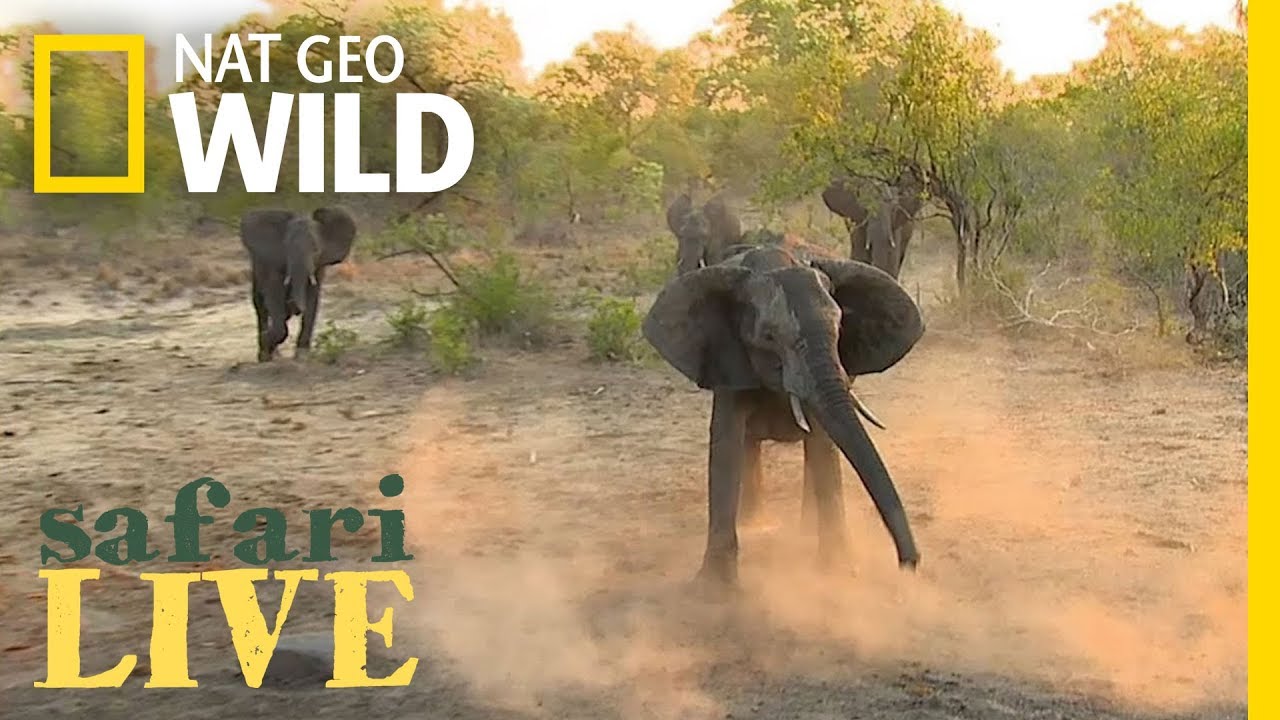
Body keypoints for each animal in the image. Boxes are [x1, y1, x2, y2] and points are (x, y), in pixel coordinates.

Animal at [239, 206, 357, 362]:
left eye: (316, 250)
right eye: (286, 247)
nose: (292, 304)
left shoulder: (317, 268)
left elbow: (313, 300)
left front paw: (302, 355)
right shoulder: (274, 264)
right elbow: (274, 296)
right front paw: (266, 342)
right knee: (261, 307)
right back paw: (266, 354)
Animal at [642, 235, 924, 586]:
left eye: (840, 327)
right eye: (768, 336)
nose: (908, 563)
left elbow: (823, 443)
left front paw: (837, 574)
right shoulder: (727, 356)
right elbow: (726, 442)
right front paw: (715, 589)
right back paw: (755, 525)